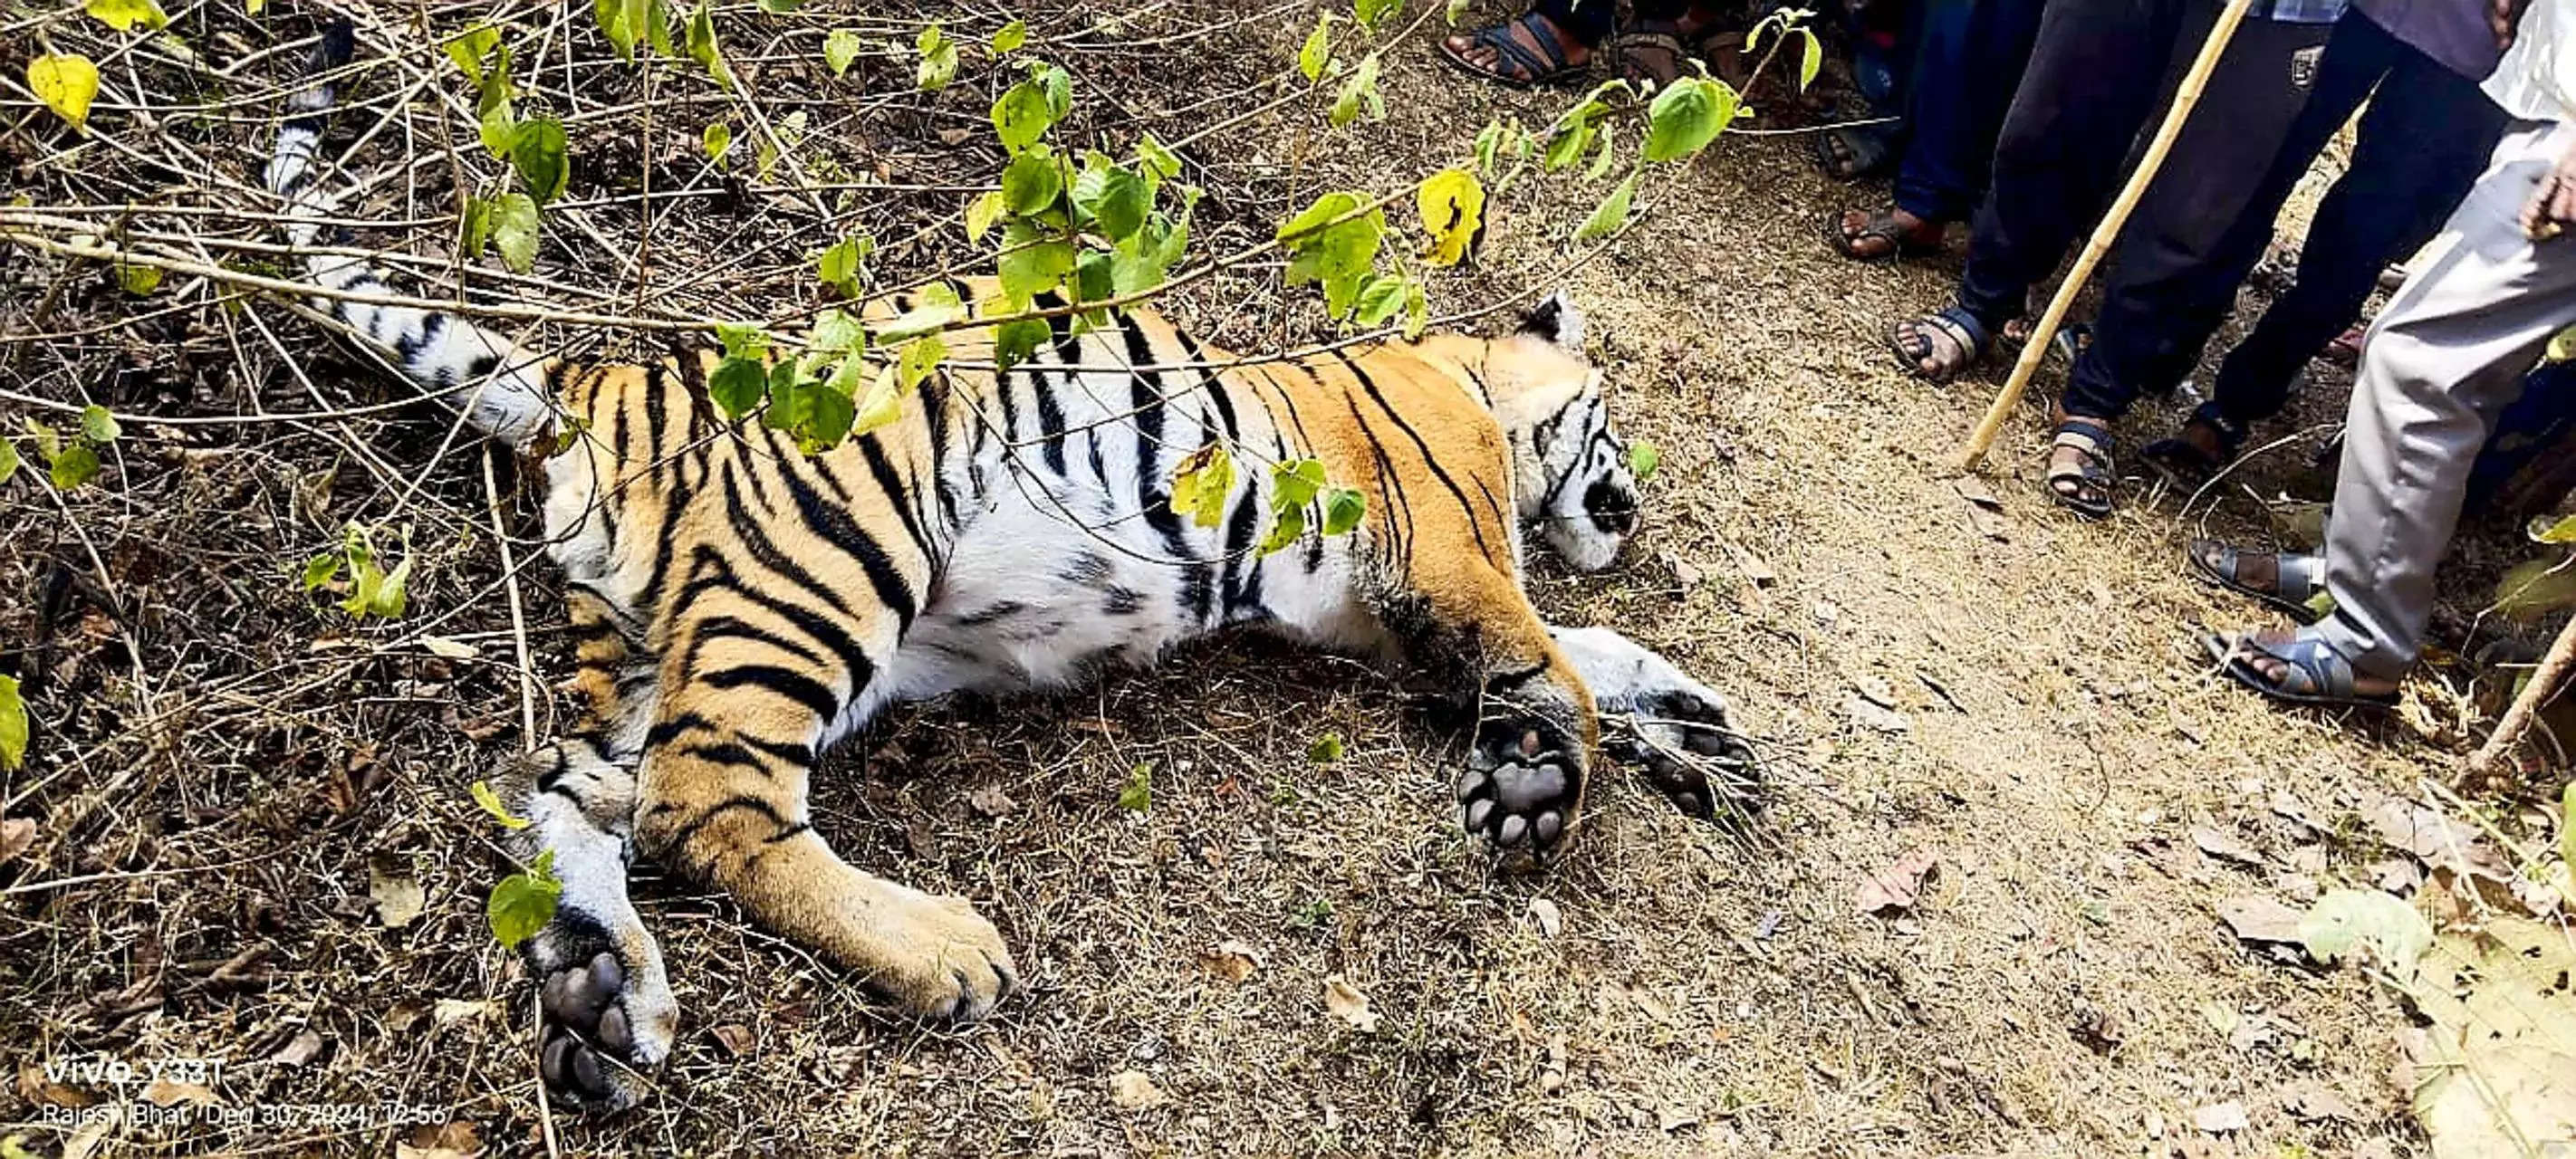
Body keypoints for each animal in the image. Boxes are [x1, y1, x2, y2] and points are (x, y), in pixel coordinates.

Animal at [266, 20, 1754, 1110]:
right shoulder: (1447, 555)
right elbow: (1559, 662)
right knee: (705, 806)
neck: (1474, 383)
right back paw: (941, 953)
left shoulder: (1377, 612)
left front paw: (1706, 734)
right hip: (830, 567)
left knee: (565, 783)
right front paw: (1539, 786)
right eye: (1616, 422)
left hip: (654, 639)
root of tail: (601, 379)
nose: (1632, 514)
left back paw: (597, 1001)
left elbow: (1599, 655)